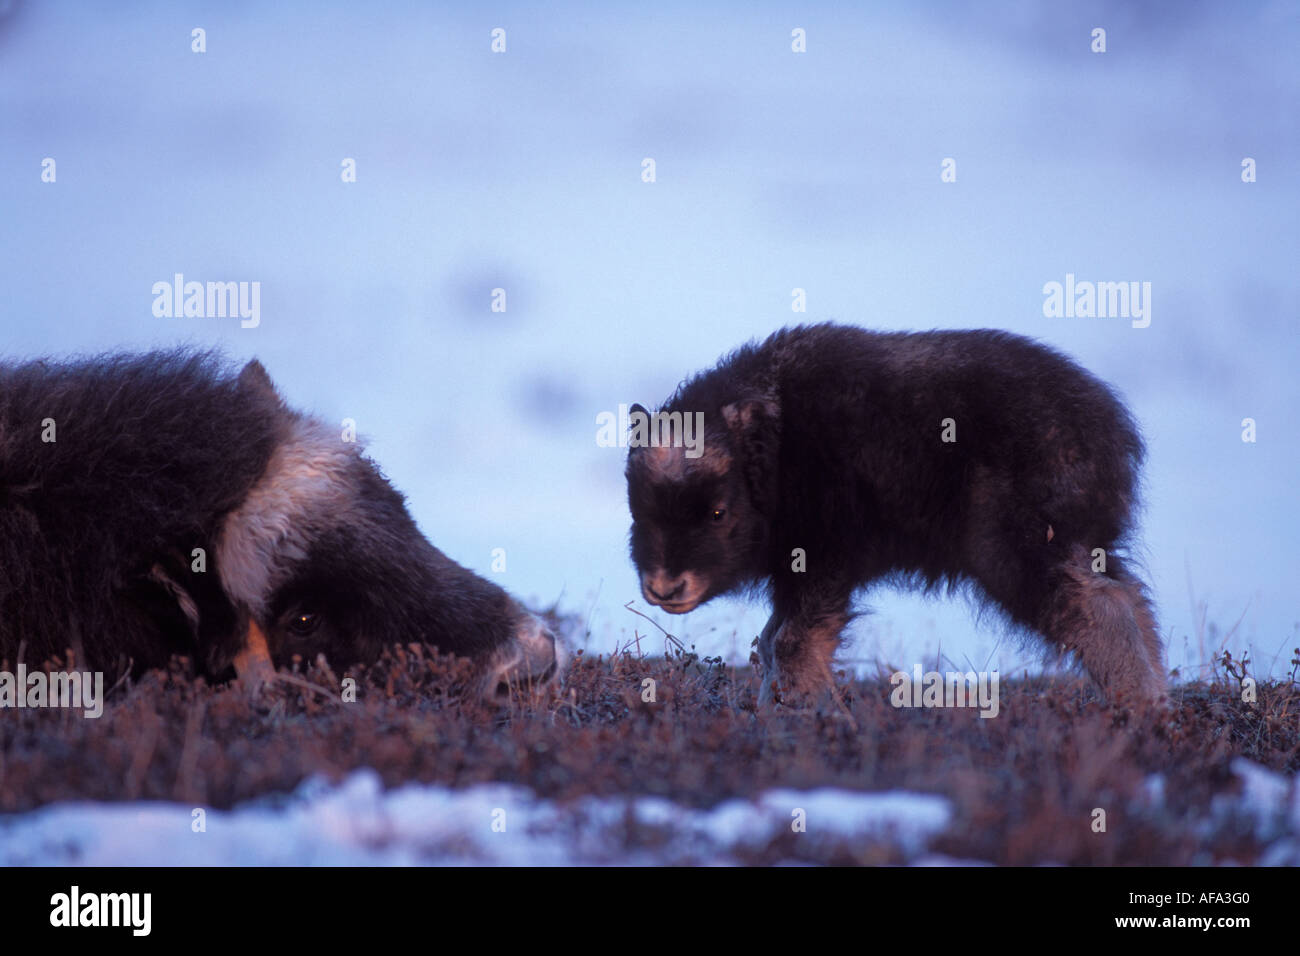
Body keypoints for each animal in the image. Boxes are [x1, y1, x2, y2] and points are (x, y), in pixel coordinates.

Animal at [625, 323, 1164, 708]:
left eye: (717, 512)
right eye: (640, 508)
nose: (666, 588)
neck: (776, 448)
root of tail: (1109, 425)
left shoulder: (823, 561)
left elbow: (791, 642)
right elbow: (773, 639)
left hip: (1016, 554)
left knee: (1097, 609)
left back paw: (1136, 710)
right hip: (1082, 545)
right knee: (1131, 597)